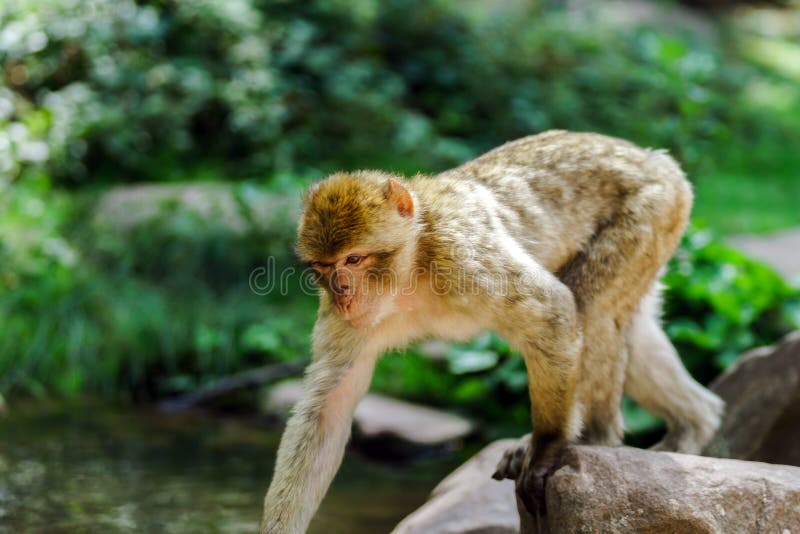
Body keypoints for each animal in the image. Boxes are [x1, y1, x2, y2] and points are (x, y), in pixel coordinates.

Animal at [261, 130, 725, 533]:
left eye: (353, 260)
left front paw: (546, 447)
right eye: (323, 267)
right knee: (630, 328)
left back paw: (597, 437)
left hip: (652, 209)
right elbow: (327, 410)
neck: (411, 269)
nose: (342, 293)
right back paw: (695, 421)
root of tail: (655, 158)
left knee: (591, 309)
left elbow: (554, 310)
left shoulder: (464, 257)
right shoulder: (345, 321)